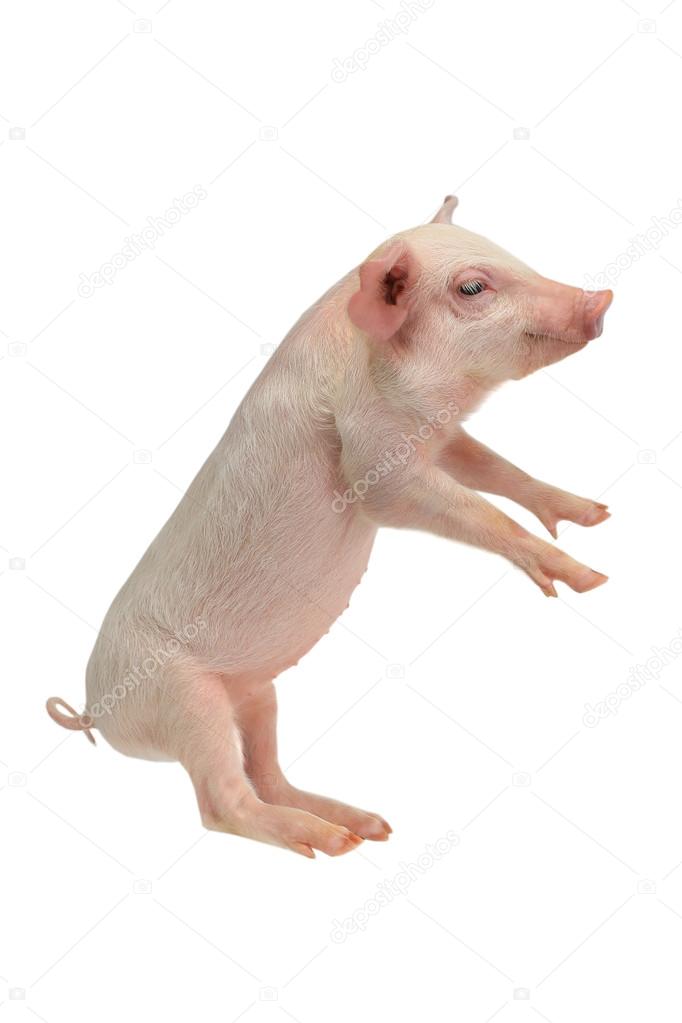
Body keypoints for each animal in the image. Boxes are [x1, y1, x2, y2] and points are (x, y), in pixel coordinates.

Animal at [46, 195, 613, 858]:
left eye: (508, 251)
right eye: (472, 287)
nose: (599, 298)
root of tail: (94, 710)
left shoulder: (442, 440)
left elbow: (497, 469)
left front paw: (598, 514)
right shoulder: (376, 462)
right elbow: (471, 508)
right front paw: (593, 580)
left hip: (255, 693)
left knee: (266, 774)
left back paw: (370, 826)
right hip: (185, 700)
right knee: (222, 803)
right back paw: (331, 843)